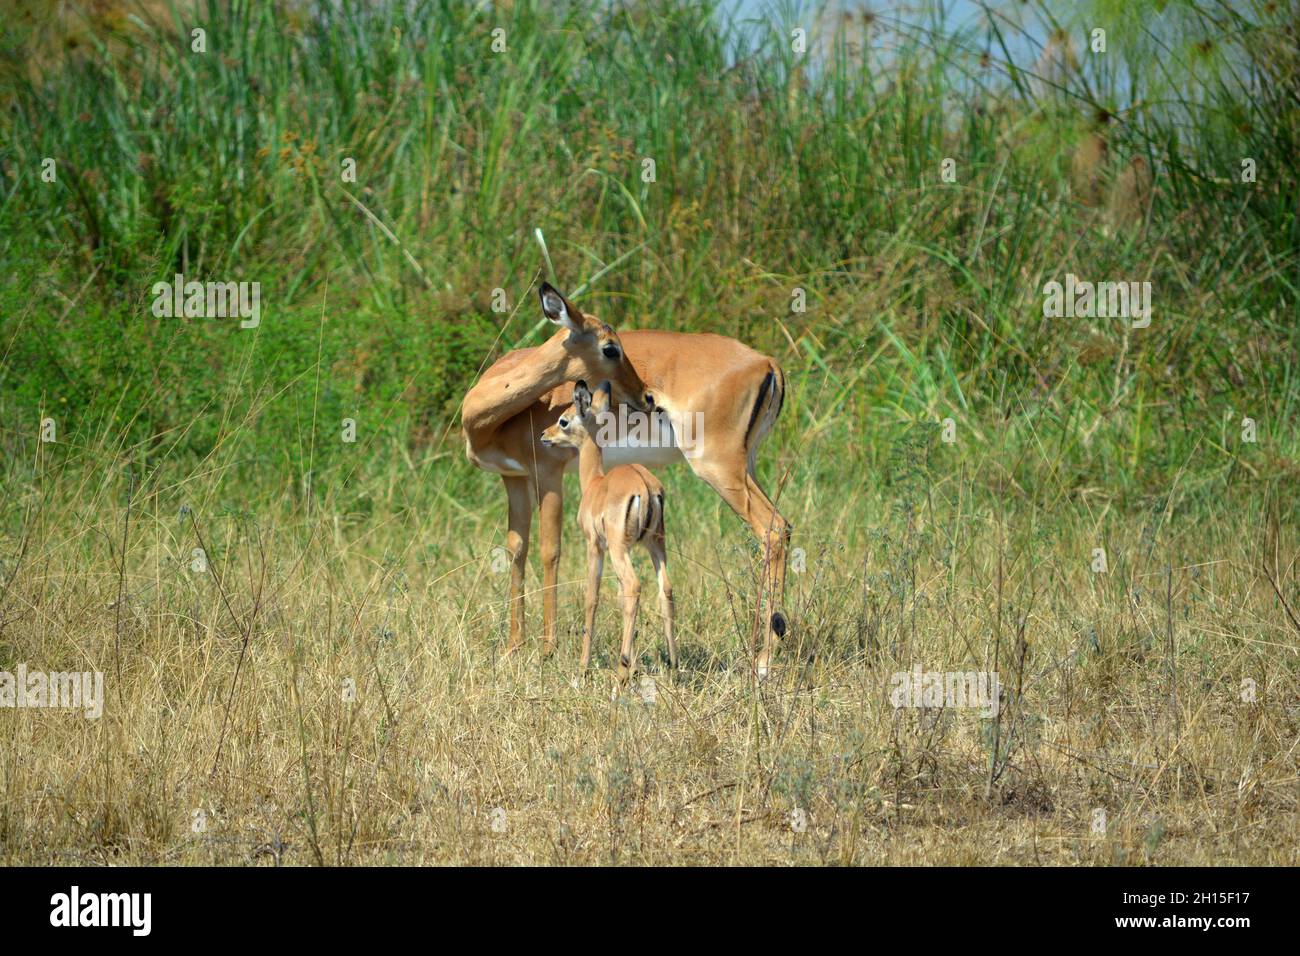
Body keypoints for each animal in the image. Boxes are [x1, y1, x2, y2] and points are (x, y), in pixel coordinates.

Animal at [540, 380, 675, 683]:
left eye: (564, 420)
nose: (544, 435)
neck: (595, 483)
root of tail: (645, 486)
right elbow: (620, 597)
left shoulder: (594, 544)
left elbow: (592, 597)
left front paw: (583, 666)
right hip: (655, 544)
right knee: (665, 589)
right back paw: (673, 664)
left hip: (618, 547)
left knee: (635, 586)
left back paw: (622, 671)